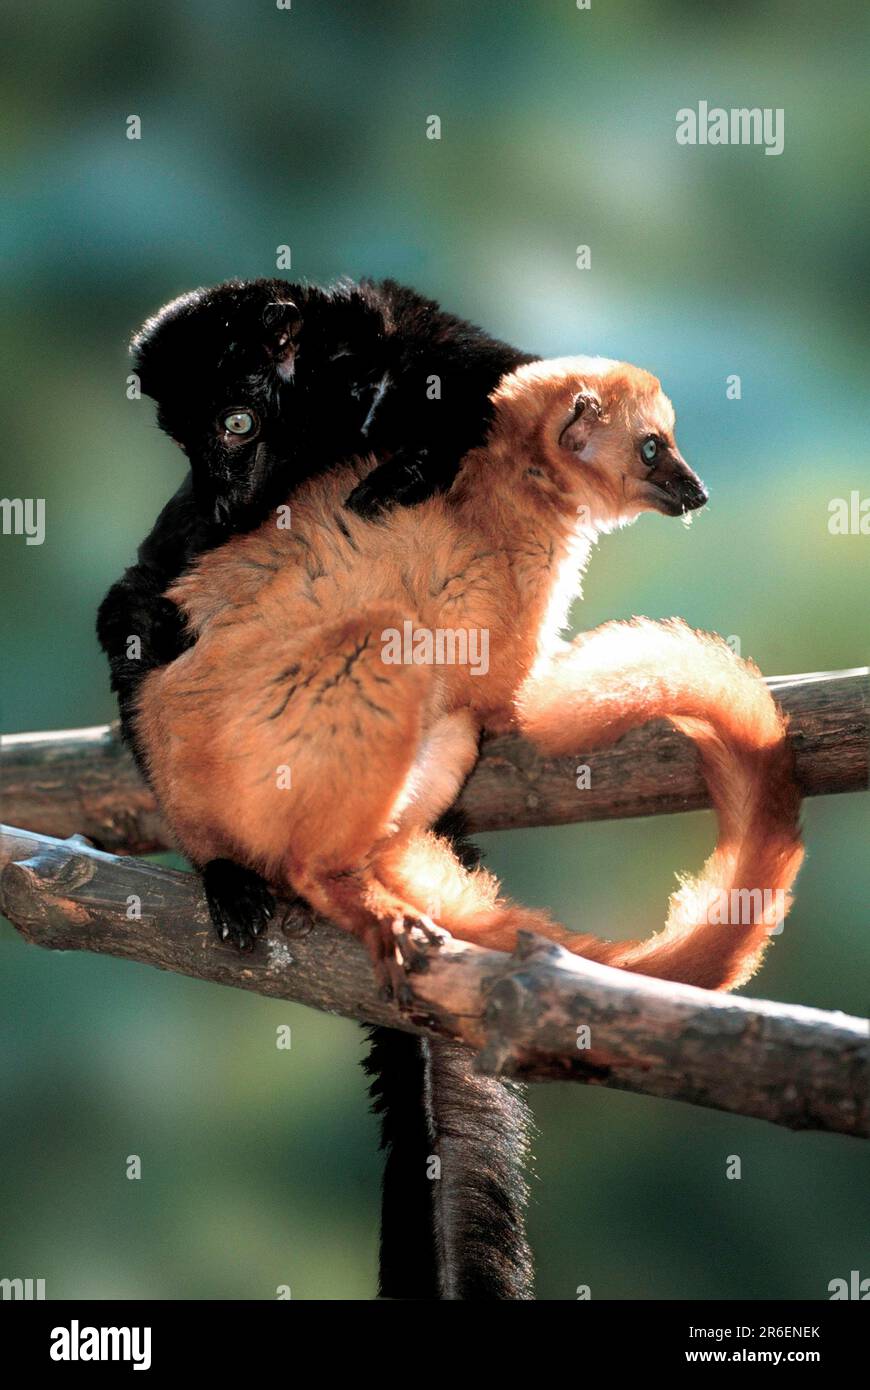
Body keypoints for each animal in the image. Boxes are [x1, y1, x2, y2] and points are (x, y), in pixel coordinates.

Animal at [134, 353, 804, 1003]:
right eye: (651, 448)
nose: (698, 491)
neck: (514, 478)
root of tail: (185, 798)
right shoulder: (512, 578)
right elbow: (514, 707)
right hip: (255, 754)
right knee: (389, 645)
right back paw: (331, 881)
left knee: (451, 728)